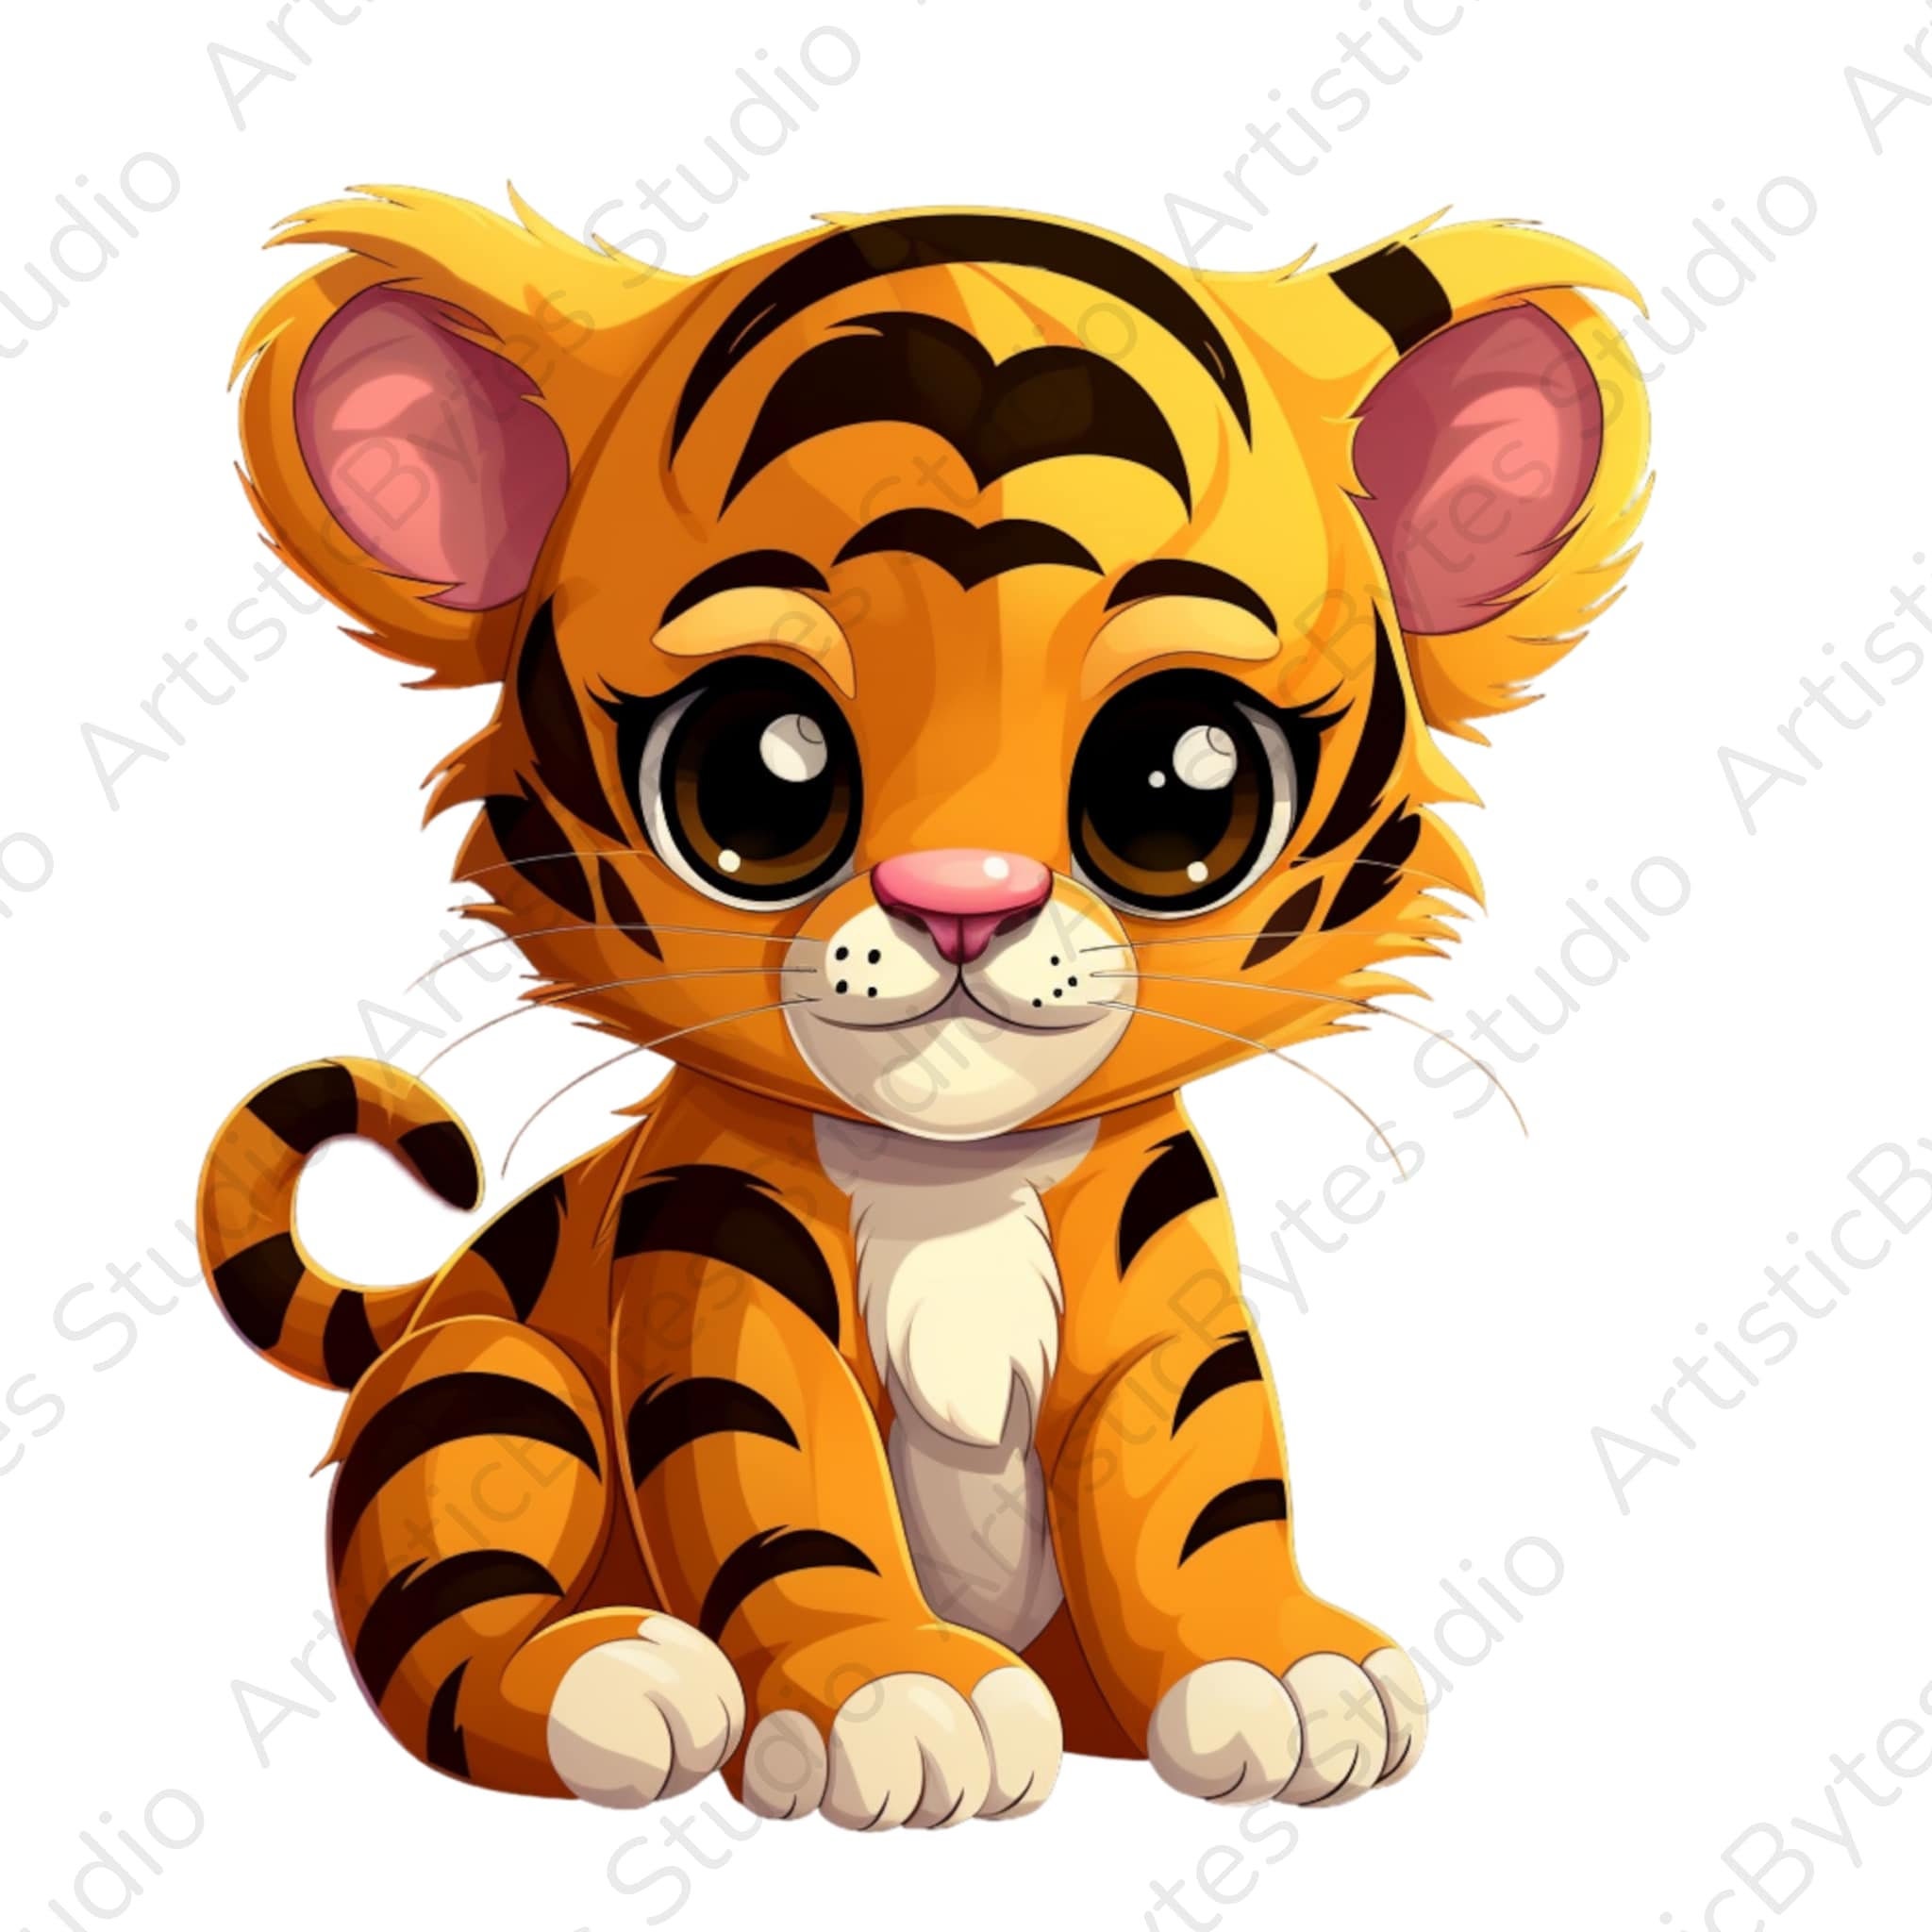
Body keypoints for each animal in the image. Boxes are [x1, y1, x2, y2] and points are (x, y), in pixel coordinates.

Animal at [197, 186, 1650, 1828]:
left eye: (1180, 777)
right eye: (758, 774)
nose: (965, 897)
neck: (954, 1174)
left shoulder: (1168, 1329)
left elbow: (1204, 1487)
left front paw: (1275, 1669)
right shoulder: (728, 1305)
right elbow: (792, 1487)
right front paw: (896, 1693)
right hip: (486, 1382)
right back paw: (609, 1675)